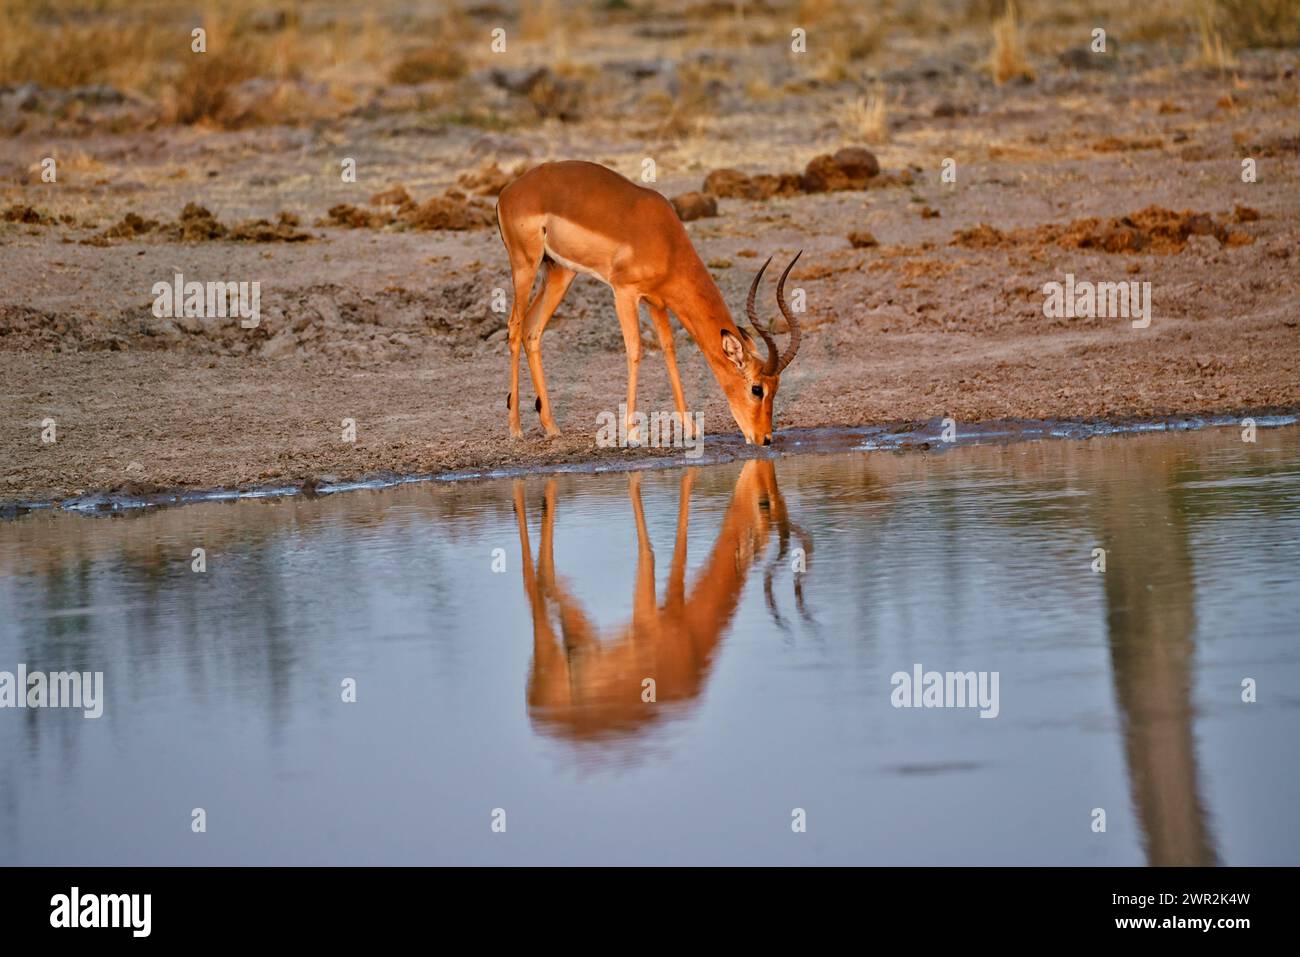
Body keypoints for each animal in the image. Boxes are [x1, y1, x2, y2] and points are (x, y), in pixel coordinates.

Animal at [495, 160, 804, 446]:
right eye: (756, 389)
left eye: (776, 388)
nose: (765, 438)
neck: (666, 241)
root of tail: (508, 192)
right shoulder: (624, 293)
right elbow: (635, 351)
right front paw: (632, 432)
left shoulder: (657, 302)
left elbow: (669, 351)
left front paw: (691, 428)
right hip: (525, 267)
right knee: (514, 327)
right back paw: (515, 429)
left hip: (560, 273)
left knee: (532, 331)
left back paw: (551, 426)